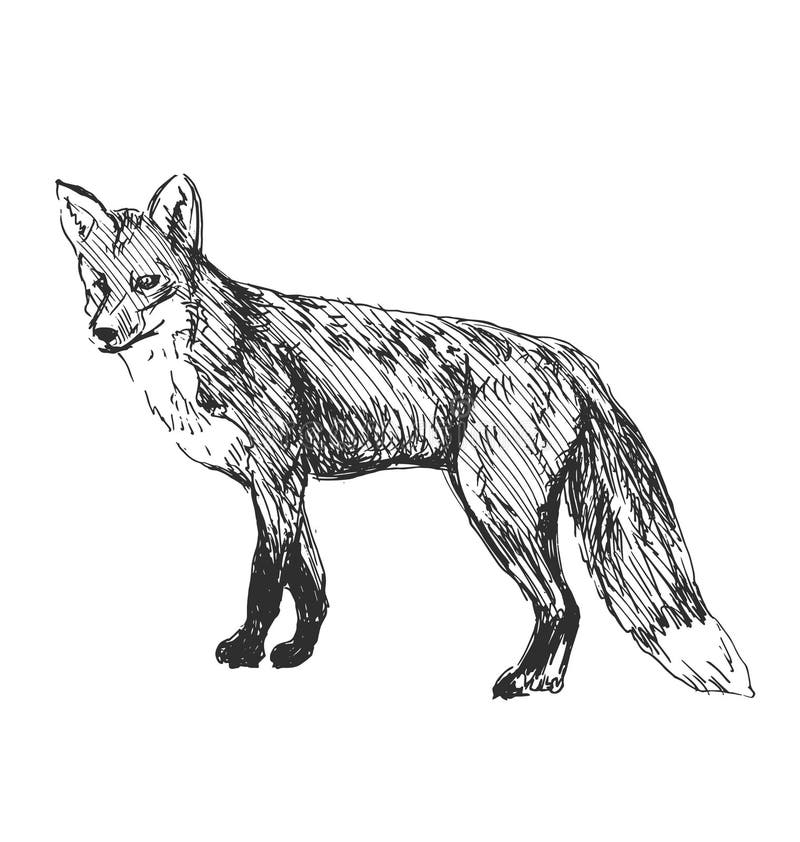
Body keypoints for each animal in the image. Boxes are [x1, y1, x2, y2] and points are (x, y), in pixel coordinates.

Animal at [56, 174, 753, 698]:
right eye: (97, 286)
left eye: (147, 284)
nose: (102, 333)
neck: (202, 357)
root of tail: (568, 354)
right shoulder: (282, 487)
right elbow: (310, 583)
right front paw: (298, 653)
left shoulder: (277, 480)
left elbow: (264, 581)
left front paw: (248, 650)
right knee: (569, 607)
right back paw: (545, 681)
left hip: (495, 512)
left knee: (561, 605)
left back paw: (523, 681)